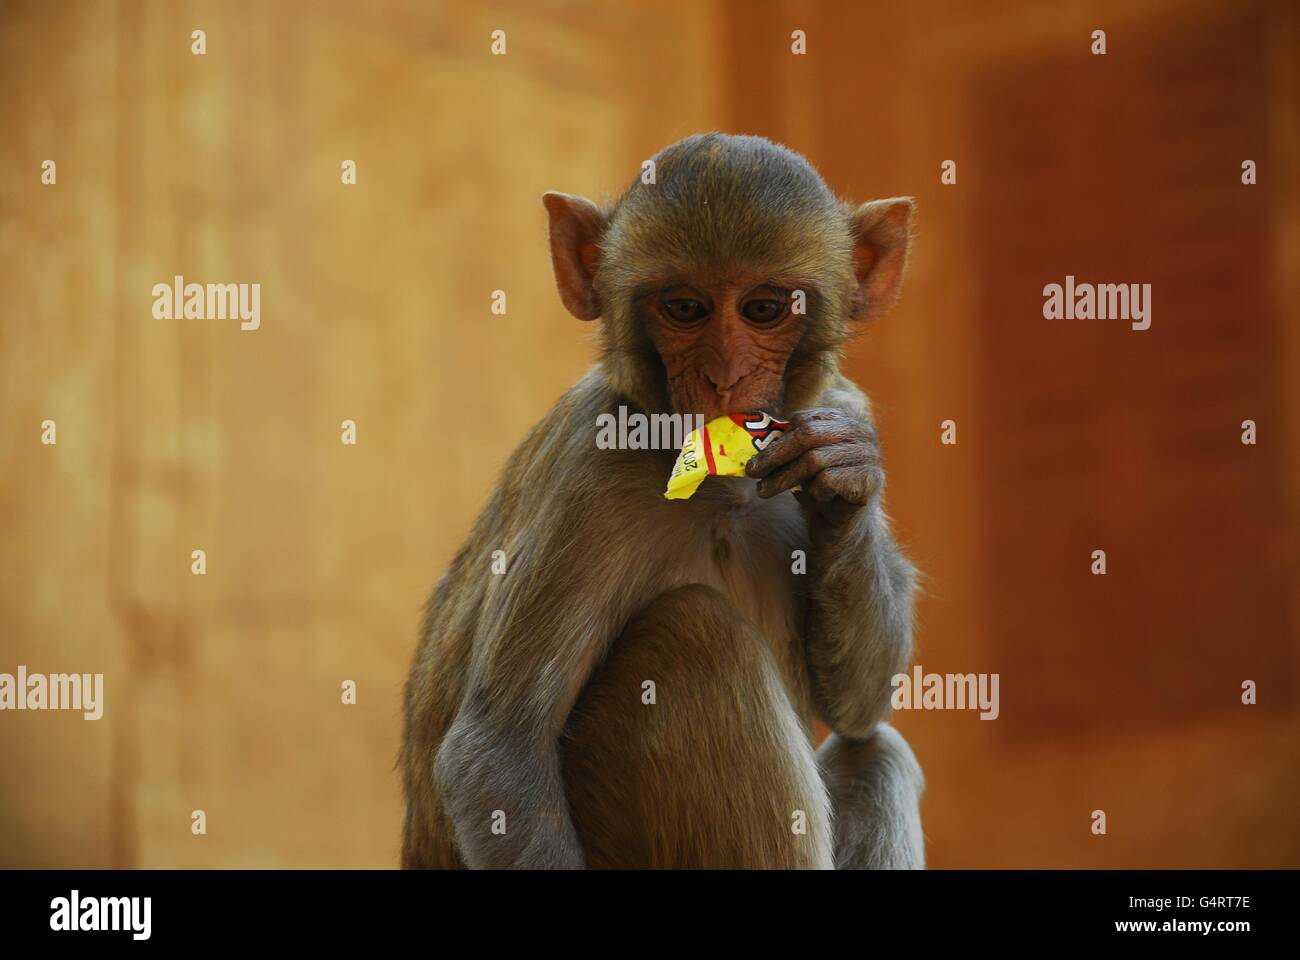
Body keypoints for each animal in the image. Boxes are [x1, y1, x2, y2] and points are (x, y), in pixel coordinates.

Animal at [401, 132, 924, 869]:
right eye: (685, 309)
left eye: (764, 309)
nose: (724, 377)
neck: (717, 489)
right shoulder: (591, 471)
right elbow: (498, 752)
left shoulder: (839, 401)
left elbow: (860, 703)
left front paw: (844, 477)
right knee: (693, 635)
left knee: (871, 749)